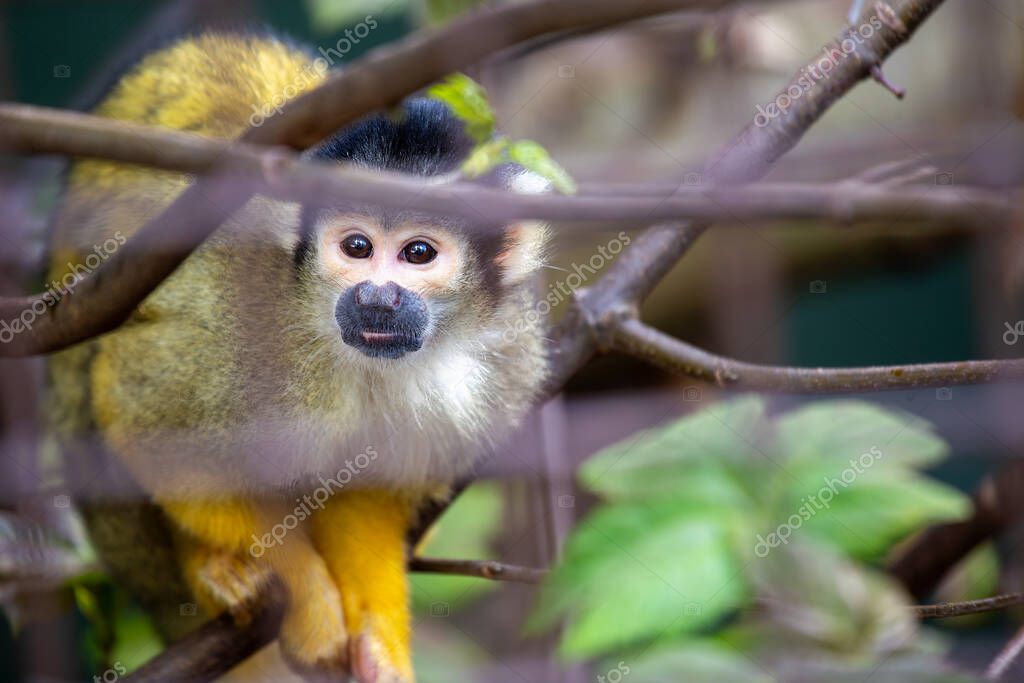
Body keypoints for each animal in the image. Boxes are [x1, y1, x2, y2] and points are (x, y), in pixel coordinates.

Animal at [47, 32, 549, 682]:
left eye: (418, 253)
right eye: (356, 247)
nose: (377, 298)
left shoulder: (505, 360)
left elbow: (364, 492)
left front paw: (379, 635)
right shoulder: (240, 320)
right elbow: (144, 413)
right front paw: (307, 597)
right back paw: (210, 571)